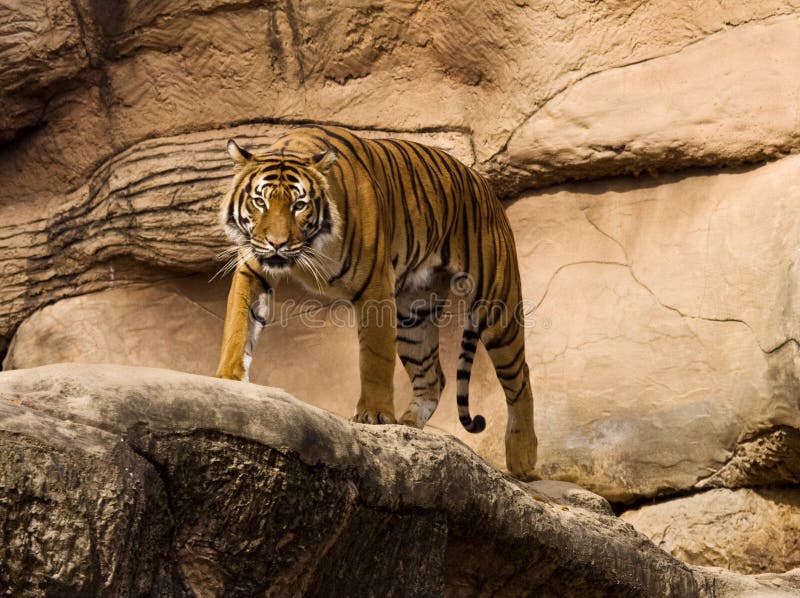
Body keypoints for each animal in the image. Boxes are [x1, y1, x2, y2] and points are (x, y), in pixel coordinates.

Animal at [215, 125, 538, 480]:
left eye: (299, 205)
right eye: (259, 201)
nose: (277, 244)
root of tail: (484, 184)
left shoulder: (376, 286)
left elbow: (375, 358)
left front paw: (375, 415)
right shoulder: (251, 268)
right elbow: (238, 327)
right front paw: (228, 380)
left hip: (495, 306)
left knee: (520, 377)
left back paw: (523, 458)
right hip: (413, 314)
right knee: (433, 377)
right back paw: (409, 427)